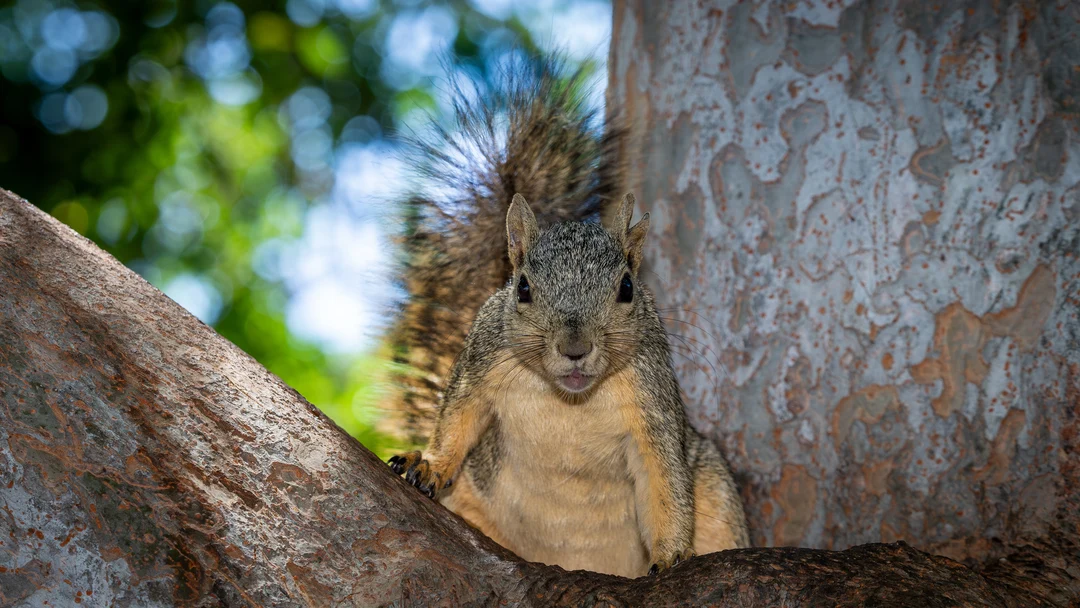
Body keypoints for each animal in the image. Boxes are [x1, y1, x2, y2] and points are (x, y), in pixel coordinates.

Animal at [386, 55, 749, 578]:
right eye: (522, 288)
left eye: (627, 288)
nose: (575, 350)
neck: (570, 402)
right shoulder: (481, 362)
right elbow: (457, 418)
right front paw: (431, 463)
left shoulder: (651, 402)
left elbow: (665, 482)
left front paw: (672, 555)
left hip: (717, 495)